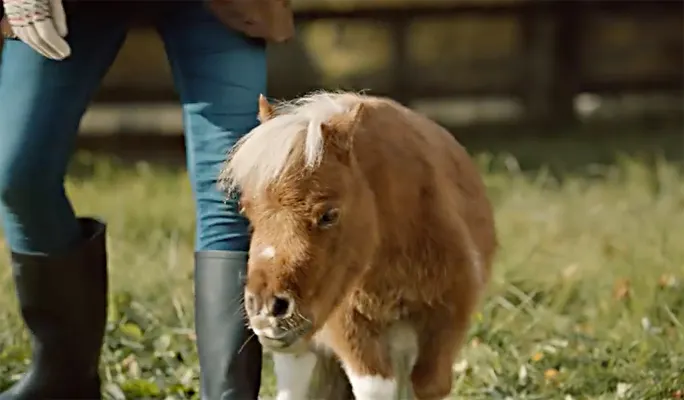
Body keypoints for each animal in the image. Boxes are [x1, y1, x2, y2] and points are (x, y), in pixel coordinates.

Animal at [219, 91, 497, 400]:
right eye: (247, 211)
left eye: (329, 215)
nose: (266, 307)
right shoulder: (350, 328)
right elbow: (375, 387)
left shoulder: (447, 321)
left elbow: (428, 384)